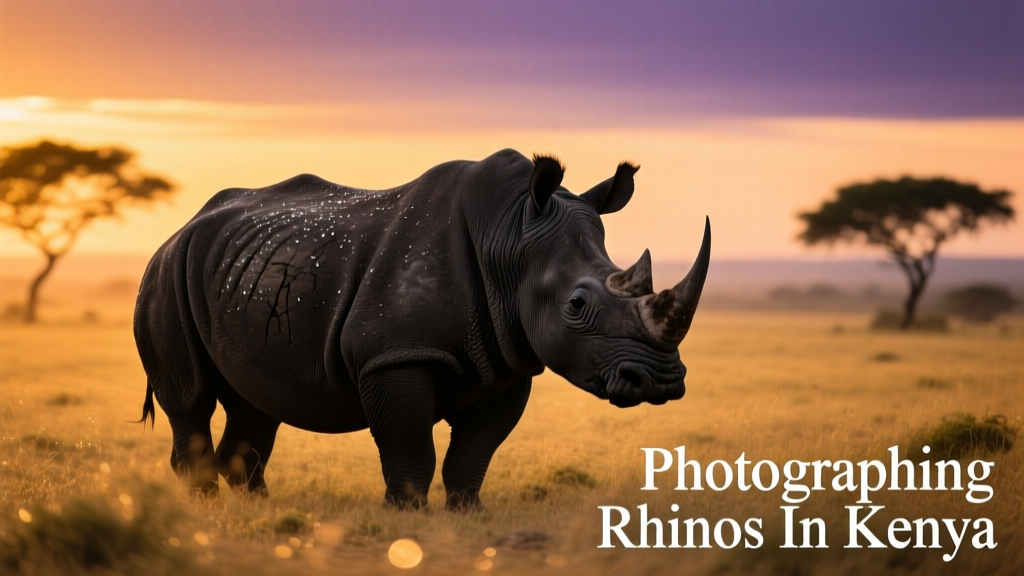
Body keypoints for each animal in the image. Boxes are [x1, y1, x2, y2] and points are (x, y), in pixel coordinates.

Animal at [134, 149, 710, 510]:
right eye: (576, 304)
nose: (660, 381)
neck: (510, 237)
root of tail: (179, 229)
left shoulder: (508, 362)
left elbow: (475, 451)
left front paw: (467, 513)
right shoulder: (395, 353)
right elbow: (410, 444)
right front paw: (405, 516)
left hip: (239, 273)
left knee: (256, 405)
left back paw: (255, 508)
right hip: (165, 275)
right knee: (191, 398)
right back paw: (204, 507)